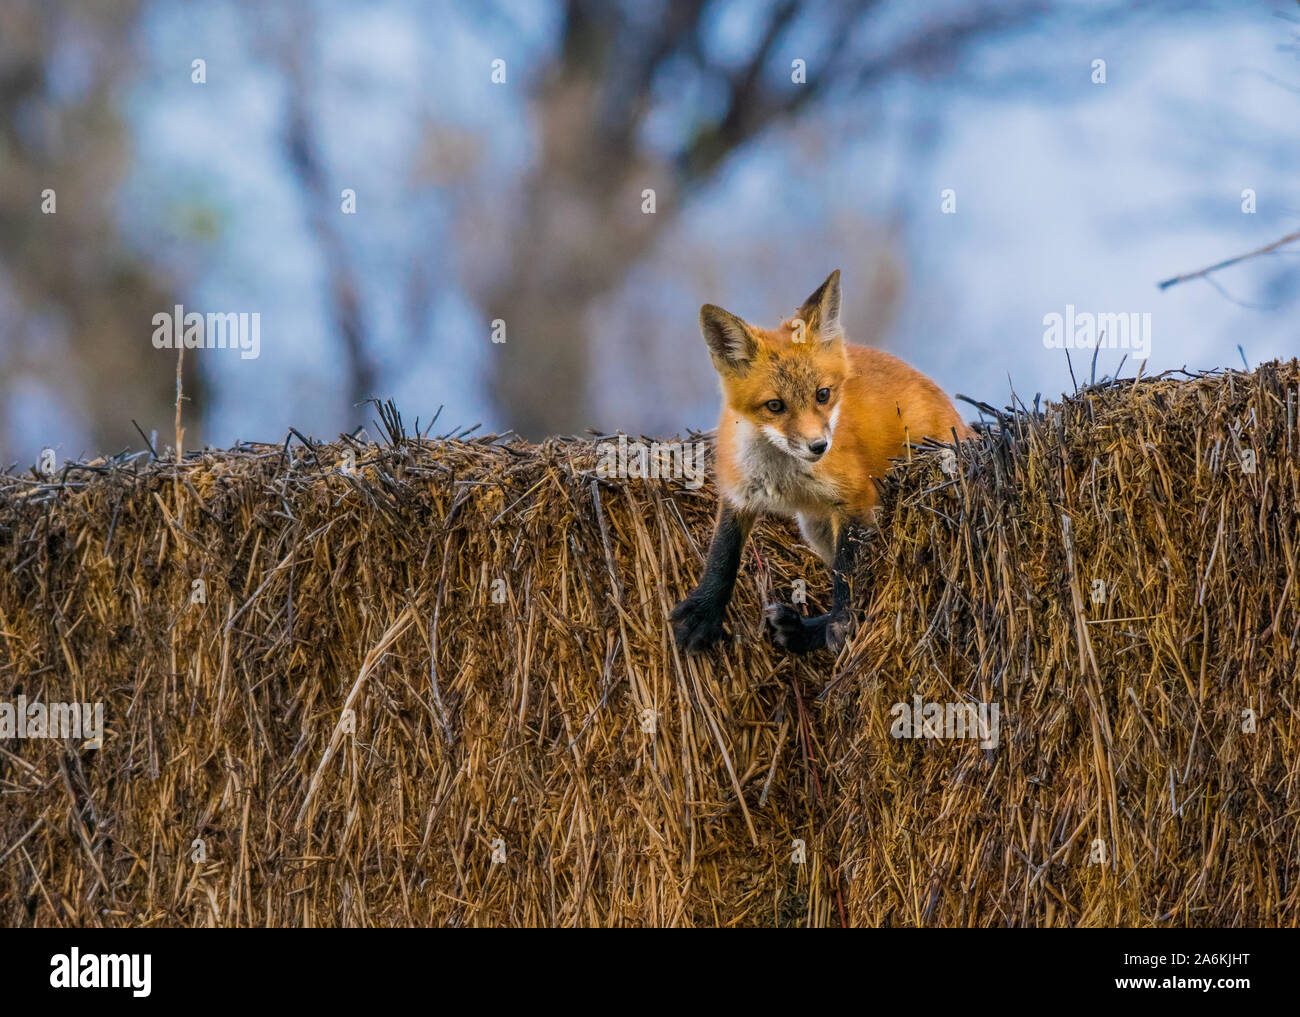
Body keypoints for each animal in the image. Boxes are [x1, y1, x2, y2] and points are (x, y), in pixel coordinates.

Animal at [670, 269, 973, 654]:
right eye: (774, 406)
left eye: (823, 395)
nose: (818, 446)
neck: (785, 476)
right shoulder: (739, 492)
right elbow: (722, 555)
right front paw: (705, 613)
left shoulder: (855, 500)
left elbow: (847, 577)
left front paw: (841, 624)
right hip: (814, 527)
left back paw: (811, 630)